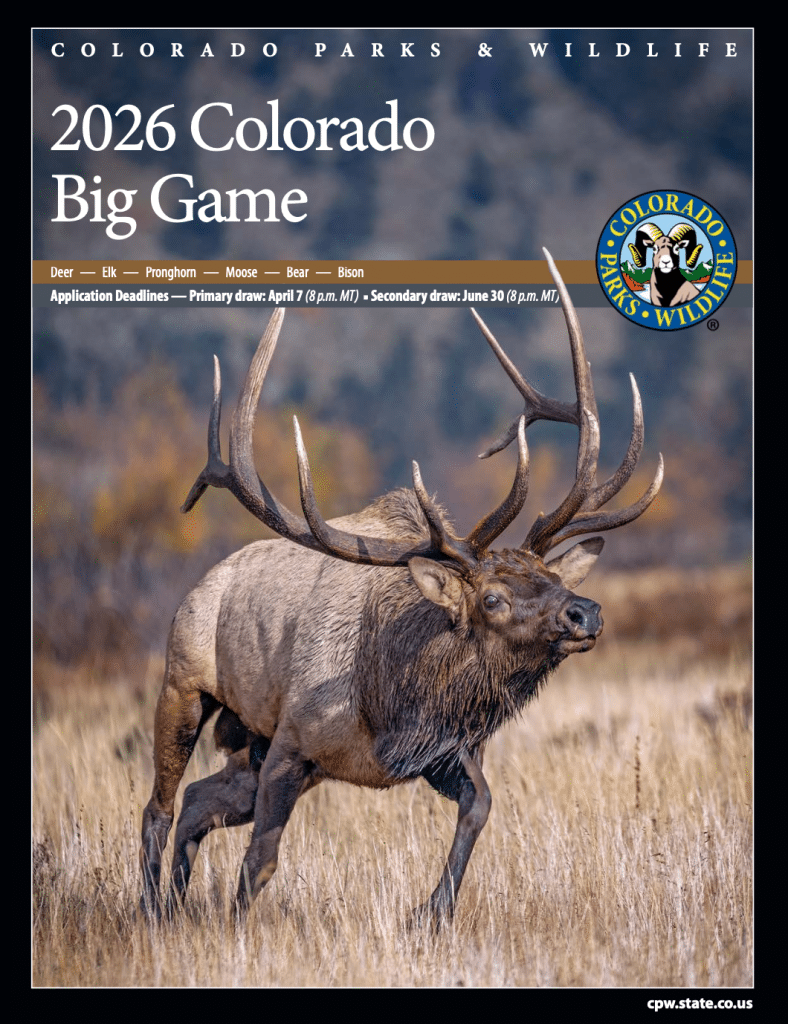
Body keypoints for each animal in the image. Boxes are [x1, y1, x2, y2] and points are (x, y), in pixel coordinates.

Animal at [140, 250, 663, 927]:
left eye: (550, 577)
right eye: (491, 599)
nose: (585, 613)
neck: (390, 700)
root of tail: (199, 585)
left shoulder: (445, 752)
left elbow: (481, 807)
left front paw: (431, 912)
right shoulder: (291, 743)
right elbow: (261, 861)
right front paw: (237, 929)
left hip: (245, 743)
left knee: (199, 802)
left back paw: (176, 904)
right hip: (185, 686)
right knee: (159, 806)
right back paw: (150, 910)